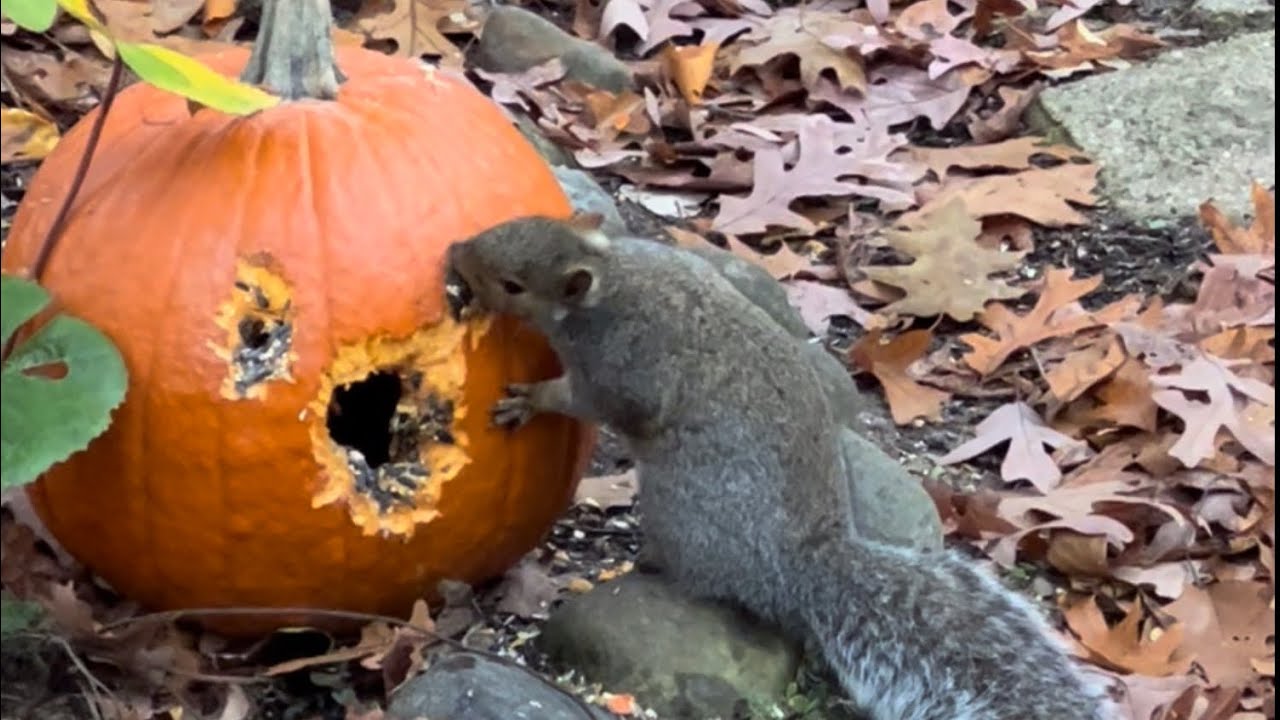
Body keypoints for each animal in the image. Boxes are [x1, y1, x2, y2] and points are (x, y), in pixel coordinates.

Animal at [445, 216, 1115, 720]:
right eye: (506, 223)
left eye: (513, 284)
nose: (453, 252)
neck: (612, 279)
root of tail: (795, 566)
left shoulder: (626, 365)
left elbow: (602, 403)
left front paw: (531, 400)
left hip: (677, 504)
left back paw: (654, 563)